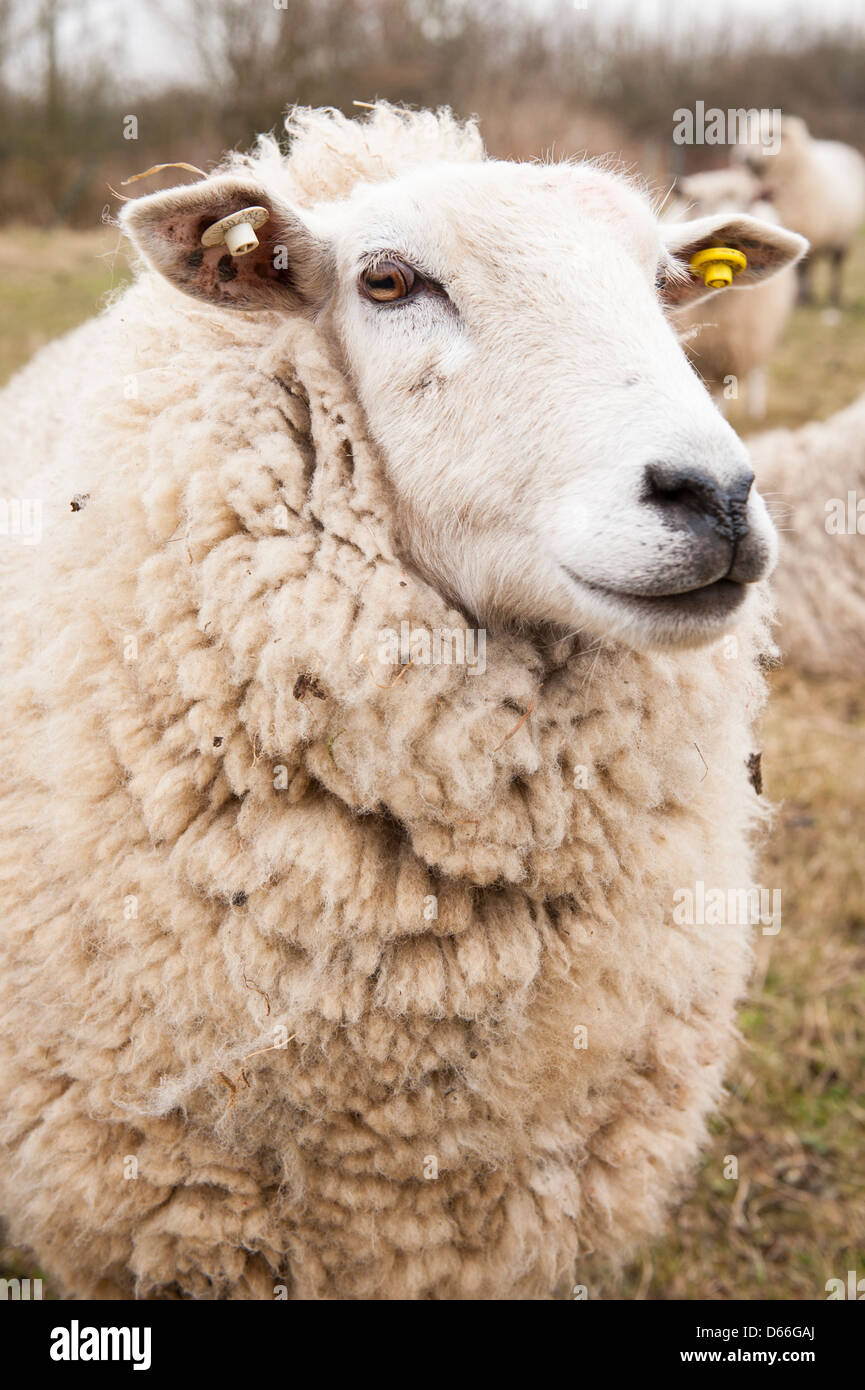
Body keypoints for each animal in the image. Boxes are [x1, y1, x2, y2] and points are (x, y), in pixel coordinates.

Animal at [737, 115, 865, 305]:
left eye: (770, 134)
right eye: (747, 134)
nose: (743, 157)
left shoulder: (807, 230)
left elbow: (803, 268)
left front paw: (802, 297)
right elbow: (799, 268)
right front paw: (801, 296)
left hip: (843, 236)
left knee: (836, 266)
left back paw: (834, 296)